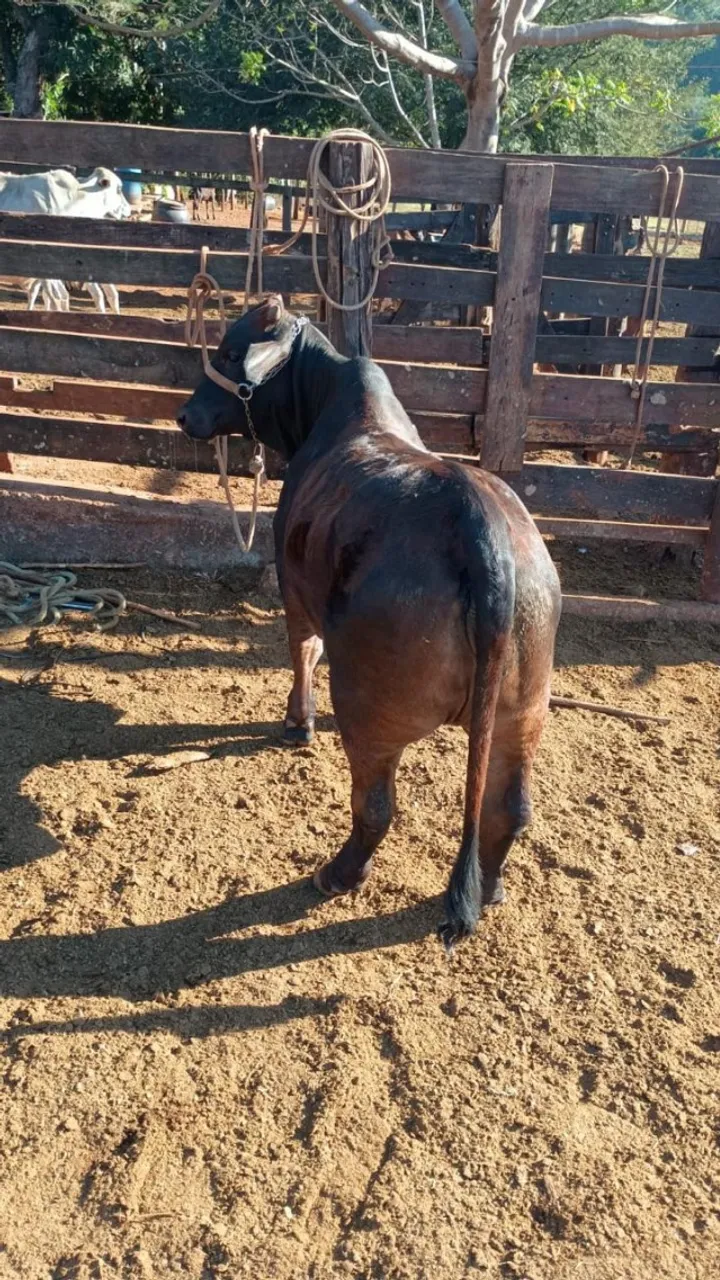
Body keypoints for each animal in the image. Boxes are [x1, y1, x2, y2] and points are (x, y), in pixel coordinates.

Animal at [177, 297, 561, 949]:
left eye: (229, 352)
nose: (185, 414)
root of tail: (475, 518)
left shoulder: (294, 588)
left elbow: (303, 651)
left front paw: (298, 723)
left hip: (370, 707)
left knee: (376, 805)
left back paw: (337, 873)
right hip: (525, 708)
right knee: (510, 809)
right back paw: (490, 886)